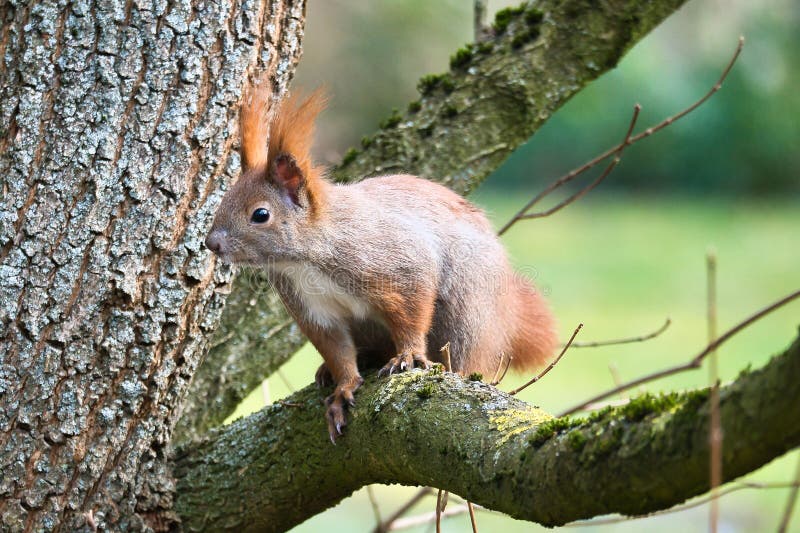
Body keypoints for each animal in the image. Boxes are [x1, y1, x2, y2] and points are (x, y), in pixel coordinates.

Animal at [205, 82, 558, 442]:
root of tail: (504, 318)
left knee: (463, 353)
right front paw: (344, 387)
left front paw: (408, 355)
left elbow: (412, 312)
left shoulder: (397, 264)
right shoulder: (314, 311)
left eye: (260, 214)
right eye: (222, 200)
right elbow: (336, 350)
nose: (211, 243)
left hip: (467, 315)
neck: (304, 260)